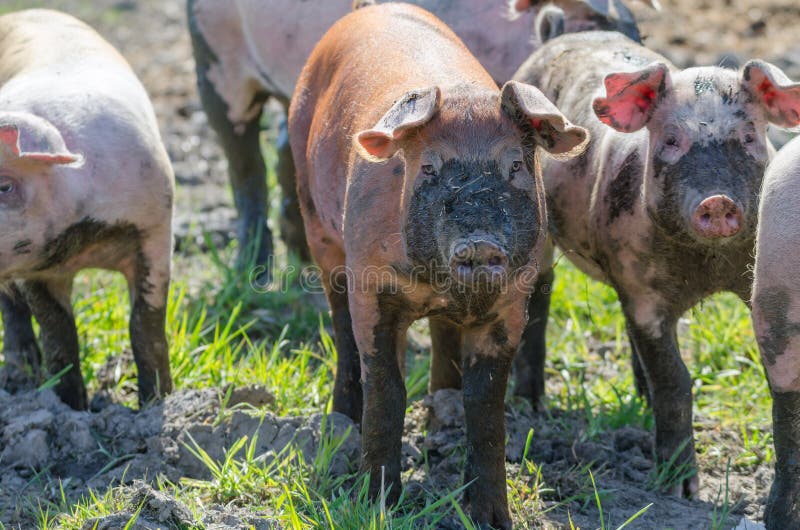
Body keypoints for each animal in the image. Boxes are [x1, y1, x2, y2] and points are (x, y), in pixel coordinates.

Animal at [0, 10, 174, 410]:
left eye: (5, 186)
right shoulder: (33, 269)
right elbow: (59, 333)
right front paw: (71, 408)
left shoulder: (156, 225)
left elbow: (145, 323)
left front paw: (157, 404)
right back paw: (20, 373)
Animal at [187, 0, 653, 272]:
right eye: (580, 28)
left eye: (637, 32)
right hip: (216, 57)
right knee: (243, 159)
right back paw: (252, 269)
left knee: (287, 149)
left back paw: (298, 252)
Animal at [288, 4, 588, 527]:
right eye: (429, 167)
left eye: (515, 165)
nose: (479, 244)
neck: (438, 283)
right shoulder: (372, 289)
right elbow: (387, 389)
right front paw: (376, 504)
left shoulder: (511, 303)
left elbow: (485, 405)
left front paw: (490, 518)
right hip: (317, 223)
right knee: (340, 329)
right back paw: (341, 422)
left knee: (443, 341)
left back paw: (437, 424)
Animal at [512, 30, 800, 498]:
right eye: (670, 141)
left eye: (749, 137)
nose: (716, 201)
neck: (704, 267)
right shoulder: (642, 294)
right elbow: (675, 380)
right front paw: (682, 491)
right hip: (541, 232)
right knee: (539, 296)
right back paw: (532, 405)